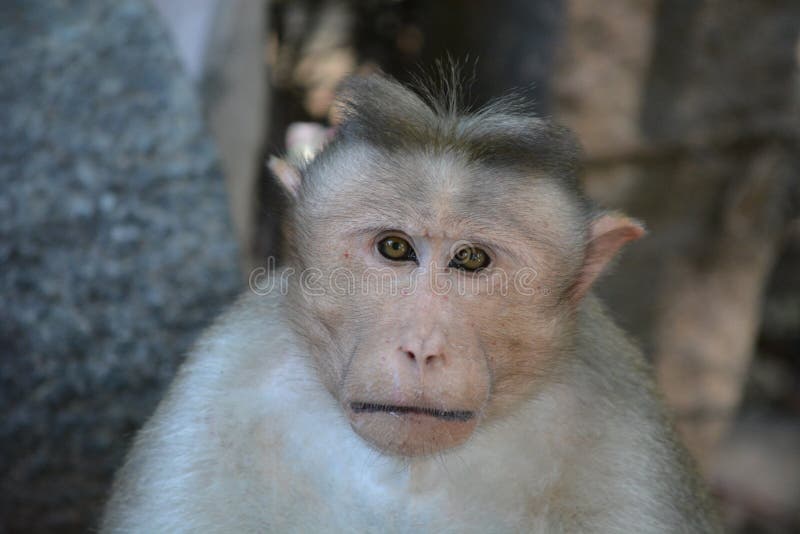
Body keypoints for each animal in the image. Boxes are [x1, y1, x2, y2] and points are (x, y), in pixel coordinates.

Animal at [101, 73, 721, 533]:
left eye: (471, 259)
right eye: (395, 248)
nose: (422, 349)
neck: (407, 469)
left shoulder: (626, 433)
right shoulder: (217, 386)